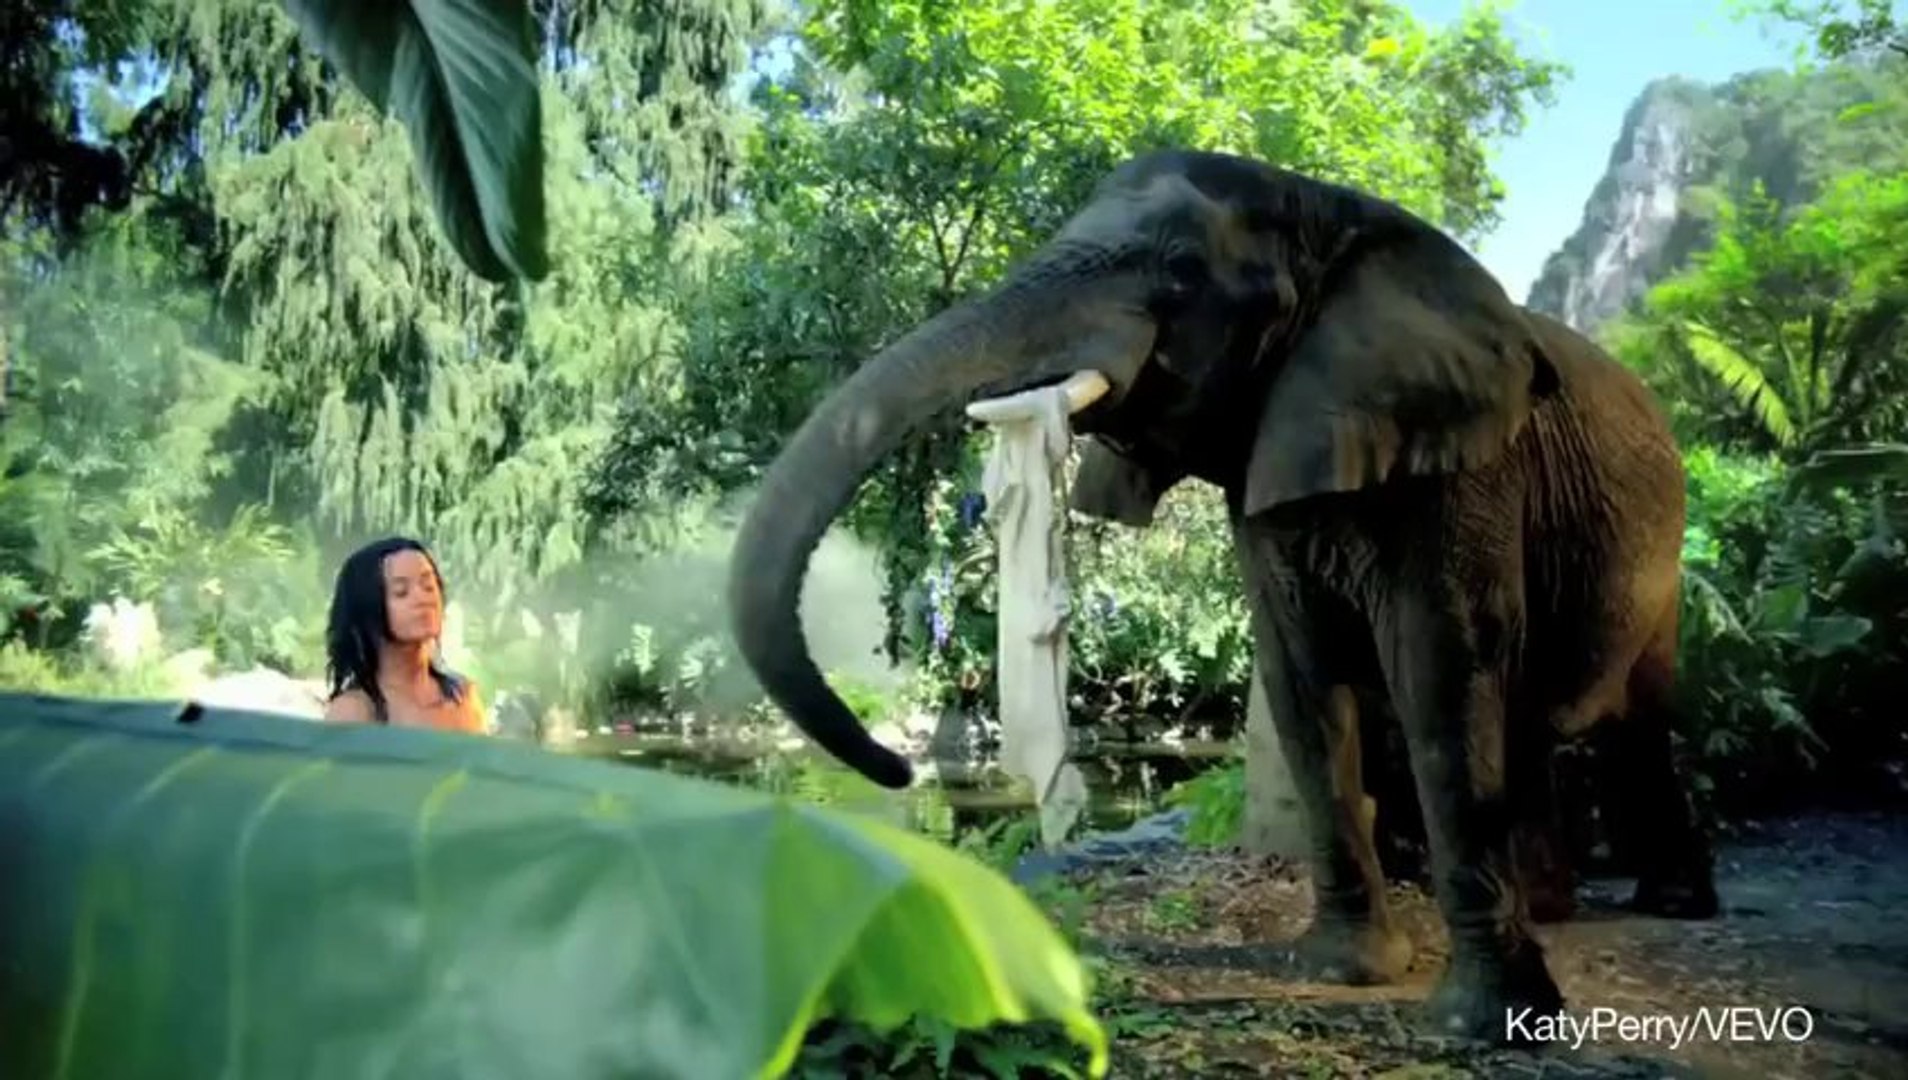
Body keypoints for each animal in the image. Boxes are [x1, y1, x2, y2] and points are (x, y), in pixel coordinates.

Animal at [726, 148, 1719, 1041]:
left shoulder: (1458, 466)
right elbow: (1300, 680)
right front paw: (1343, 970)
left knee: (1634, 716)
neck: (1327, 210)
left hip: (1666, 558)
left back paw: (1673, 904)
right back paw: (1551, 910)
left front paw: (1489, 1025)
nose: (899, 773)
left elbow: (1438, 671)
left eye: (1178, 268)